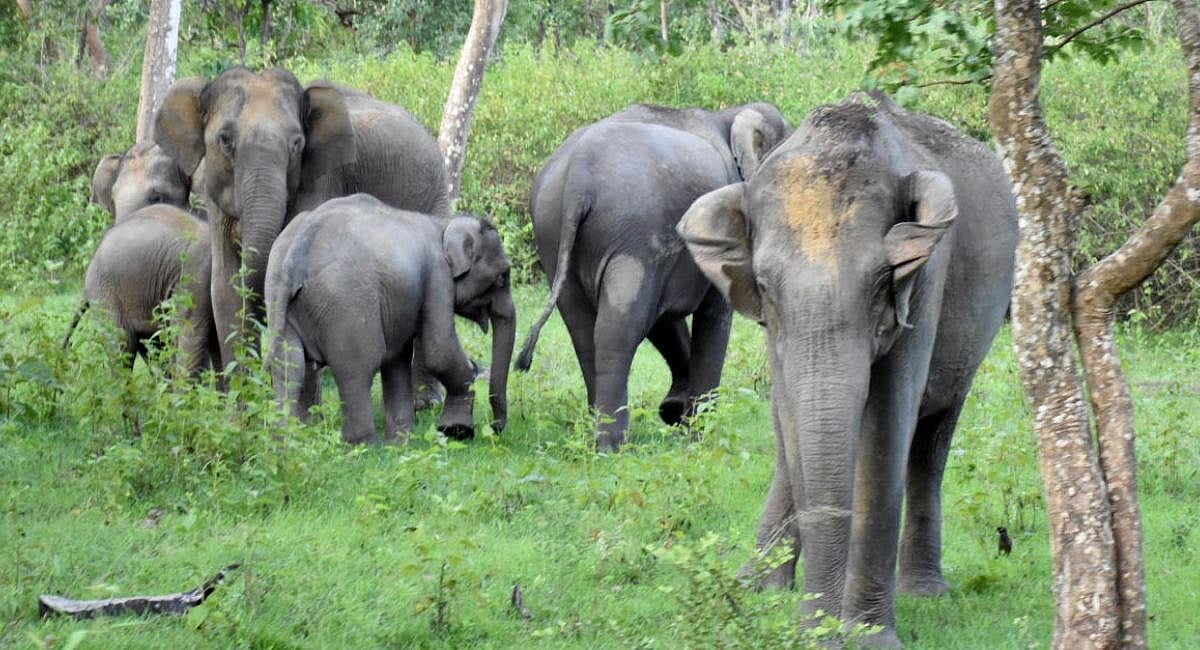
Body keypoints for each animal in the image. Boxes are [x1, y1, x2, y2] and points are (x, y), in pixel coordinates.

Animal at [265, 193, 515, 445]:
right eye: (502, 276)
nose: (496, 428)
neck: (444, 225)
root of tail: (298, 248)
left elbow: (397, 357)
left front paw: (402, 442)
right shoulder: (437, 276)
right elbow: (439, 351)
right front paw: (457, 431)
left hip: (277, 296)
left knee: (289, 365)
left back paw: (286, 440)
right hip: (346, 303)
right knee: (358, 368)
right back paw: (366, 445)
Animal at [517, 102, 790, 452]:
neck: (730, 115)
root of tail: (578, 177)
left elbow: (664, 322)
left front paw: (674, 412)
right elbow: (712, 315)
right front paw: (699, 433)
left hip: (553, 237)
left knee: (584, 330)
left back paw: (595, 433)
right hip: (634, 235)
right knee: (619, 328)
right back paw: (611, 445)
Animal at [677, 93, 1017, 646]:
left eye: (882, 280)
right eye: (764, 286)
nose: (823, 633)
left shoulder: (927, 277)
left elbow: (886, 426)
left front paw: (870, 639)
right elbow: (793, 421)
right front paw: (806, 620)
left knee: (932, 440)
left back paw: (924, 592)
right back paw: (758, 584)